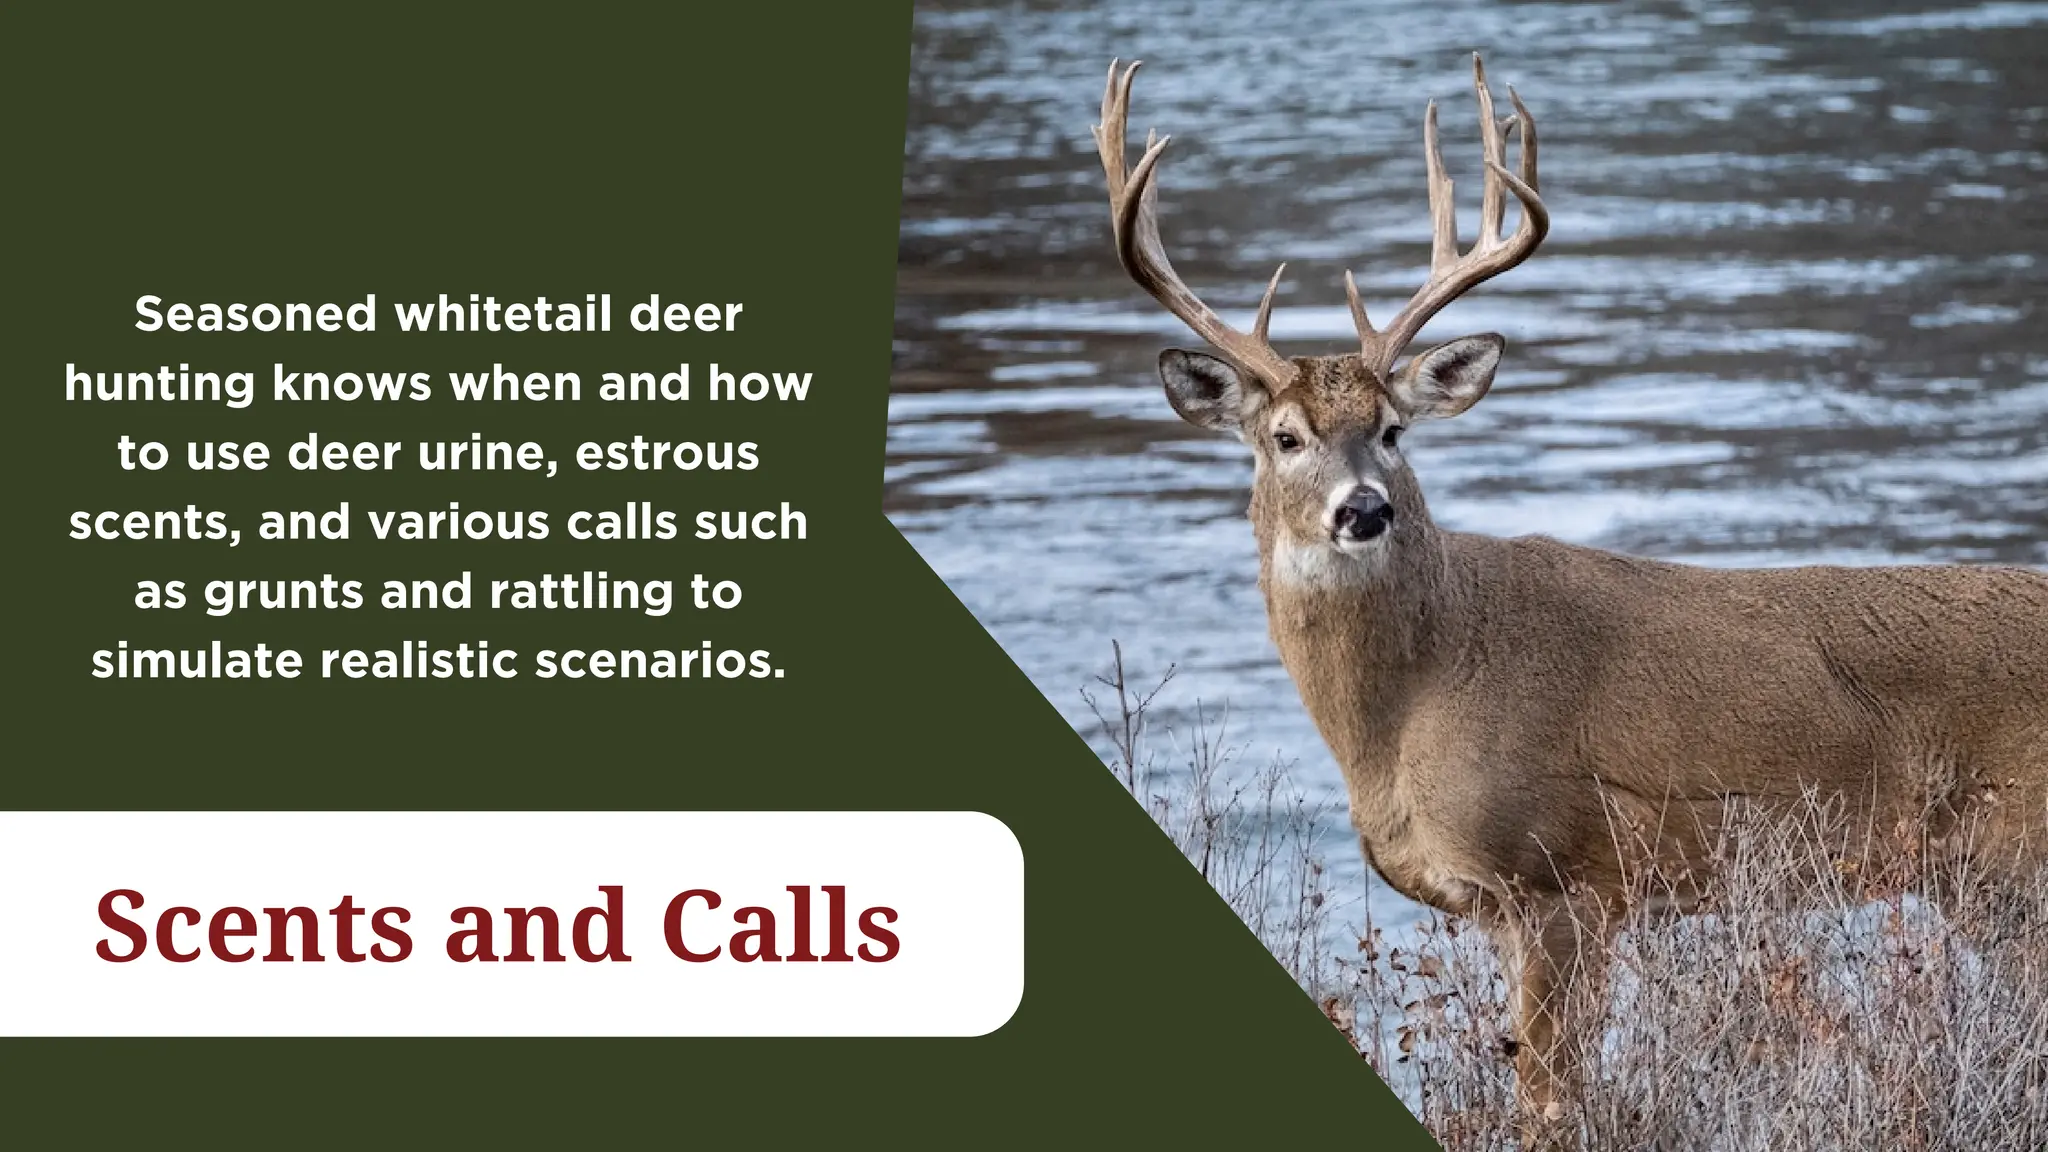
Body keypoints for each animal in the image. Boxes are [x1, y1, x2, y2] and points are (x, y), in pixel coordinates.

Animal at [1094, 52, 2048, 1125]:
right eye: (1285, 437)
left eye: (1393, 430)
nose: (1365, 510)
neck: (1411, 705)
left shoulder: (1567, 875)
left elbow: (1552, 1103)